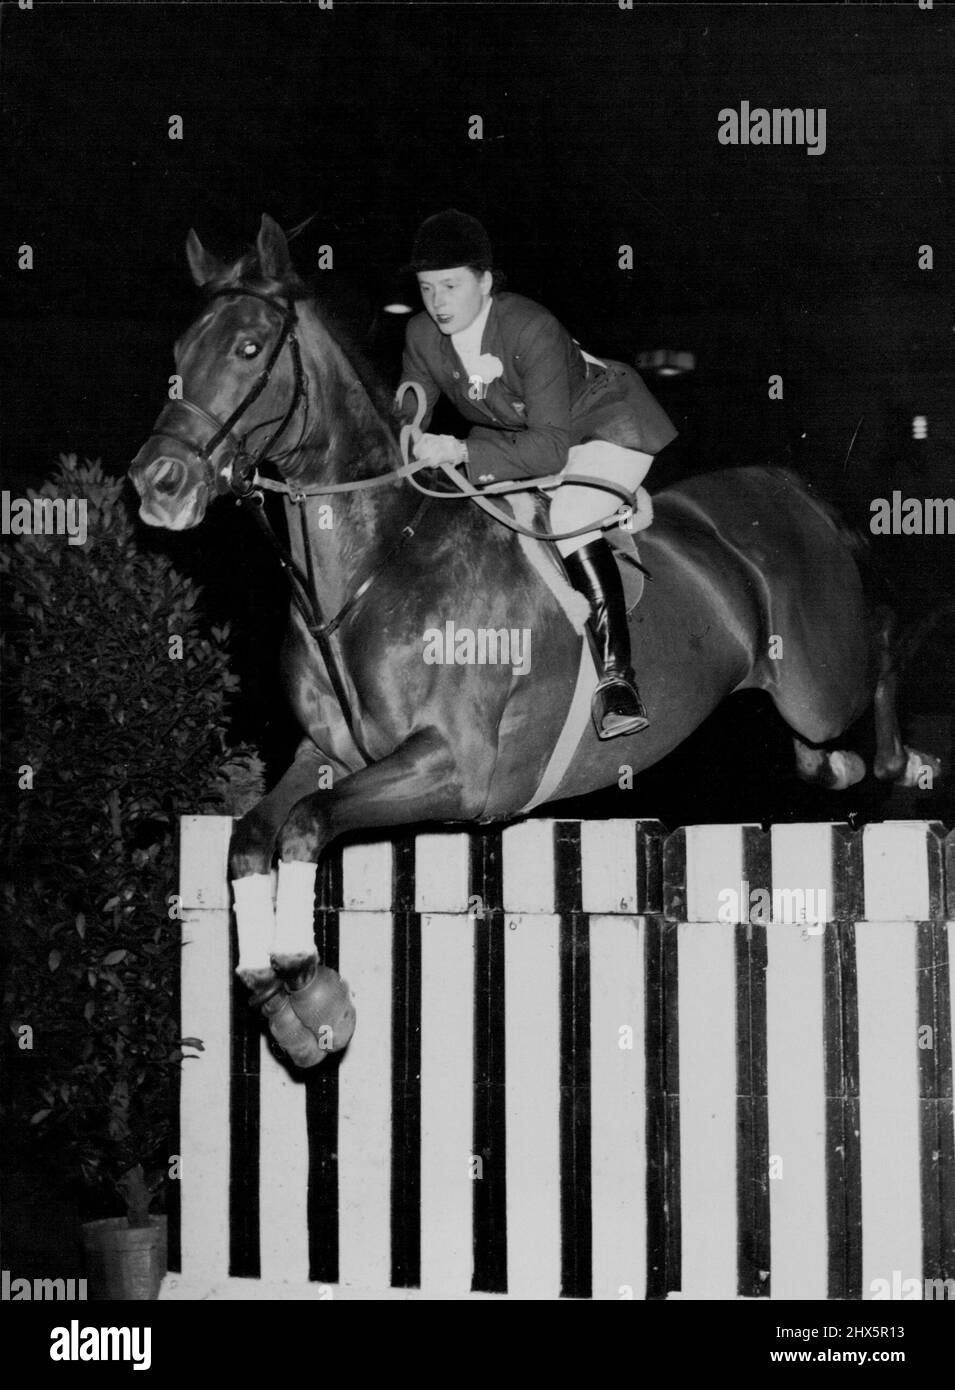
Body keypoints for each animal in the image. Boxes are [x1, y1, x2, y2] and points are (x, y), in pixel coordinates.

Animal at [128, 214, 939, 1061]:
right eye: (179, 352)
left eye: (249, 348)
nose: (156, 484)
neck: (377, 561)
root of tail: (788, 489)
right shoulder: (332, 754)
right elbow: (254, 838)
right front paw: (278, 997)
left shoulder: (455, 769)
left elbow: (305, 829)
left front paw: (312, 989)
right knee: (822, 749)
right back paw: (839, 766)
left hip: (816, 678)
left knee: (880, 649)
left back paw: (904, 760)